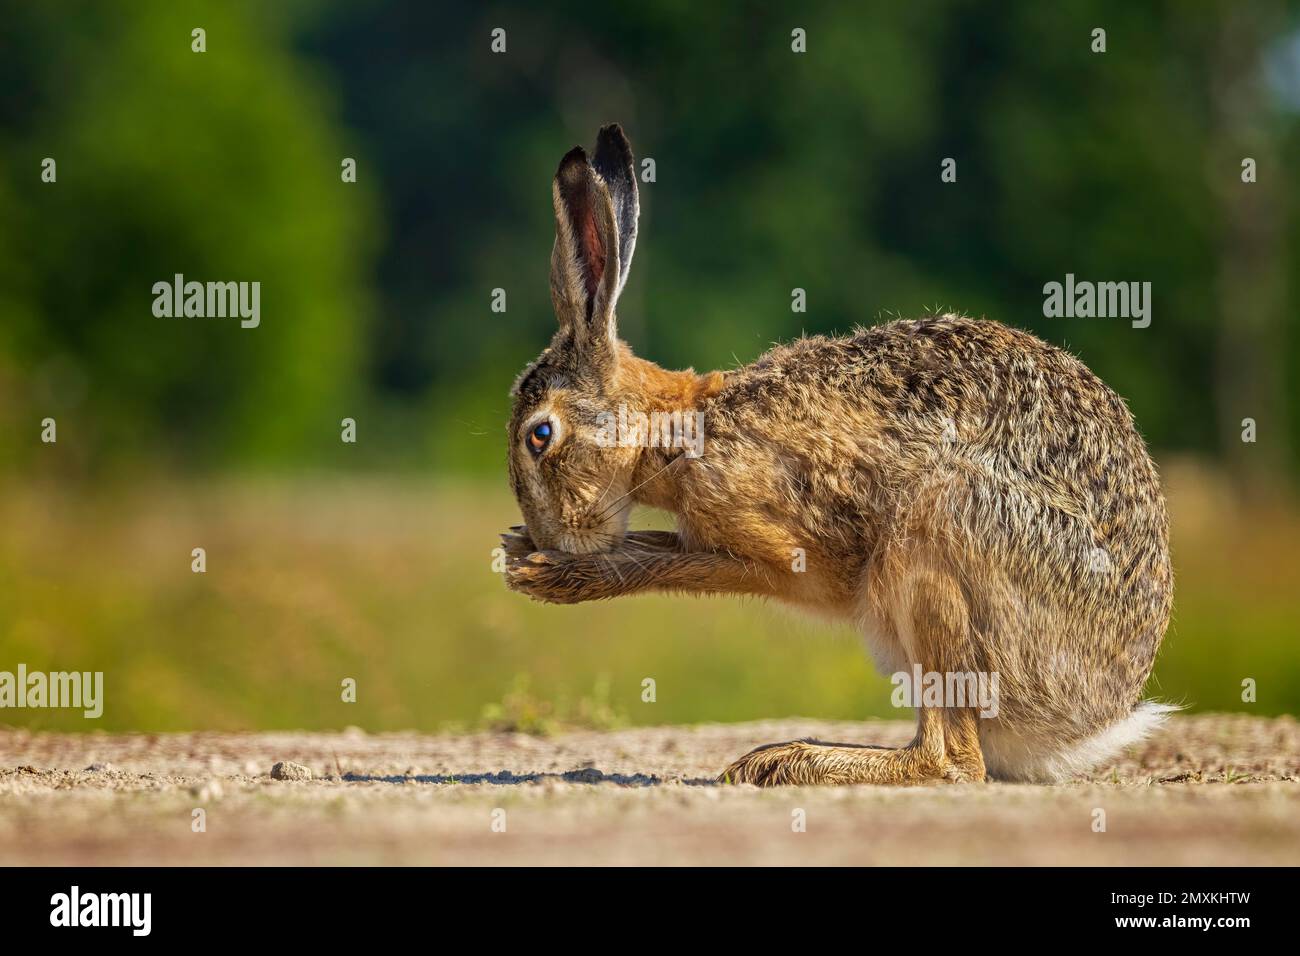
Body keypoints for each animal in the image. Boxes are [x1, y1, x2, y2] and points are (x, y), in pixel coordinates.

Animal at [502, 124, 1174, 786]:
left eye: (541, 436)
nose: (545, 537)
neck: (679, 430)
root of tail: (1094, 717)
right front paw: (522, 555)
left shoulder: (789, 547)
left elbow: (676, 563)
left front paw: (548, 575)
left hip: (939, 528)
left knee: (952, 761)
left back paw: (790, 760)